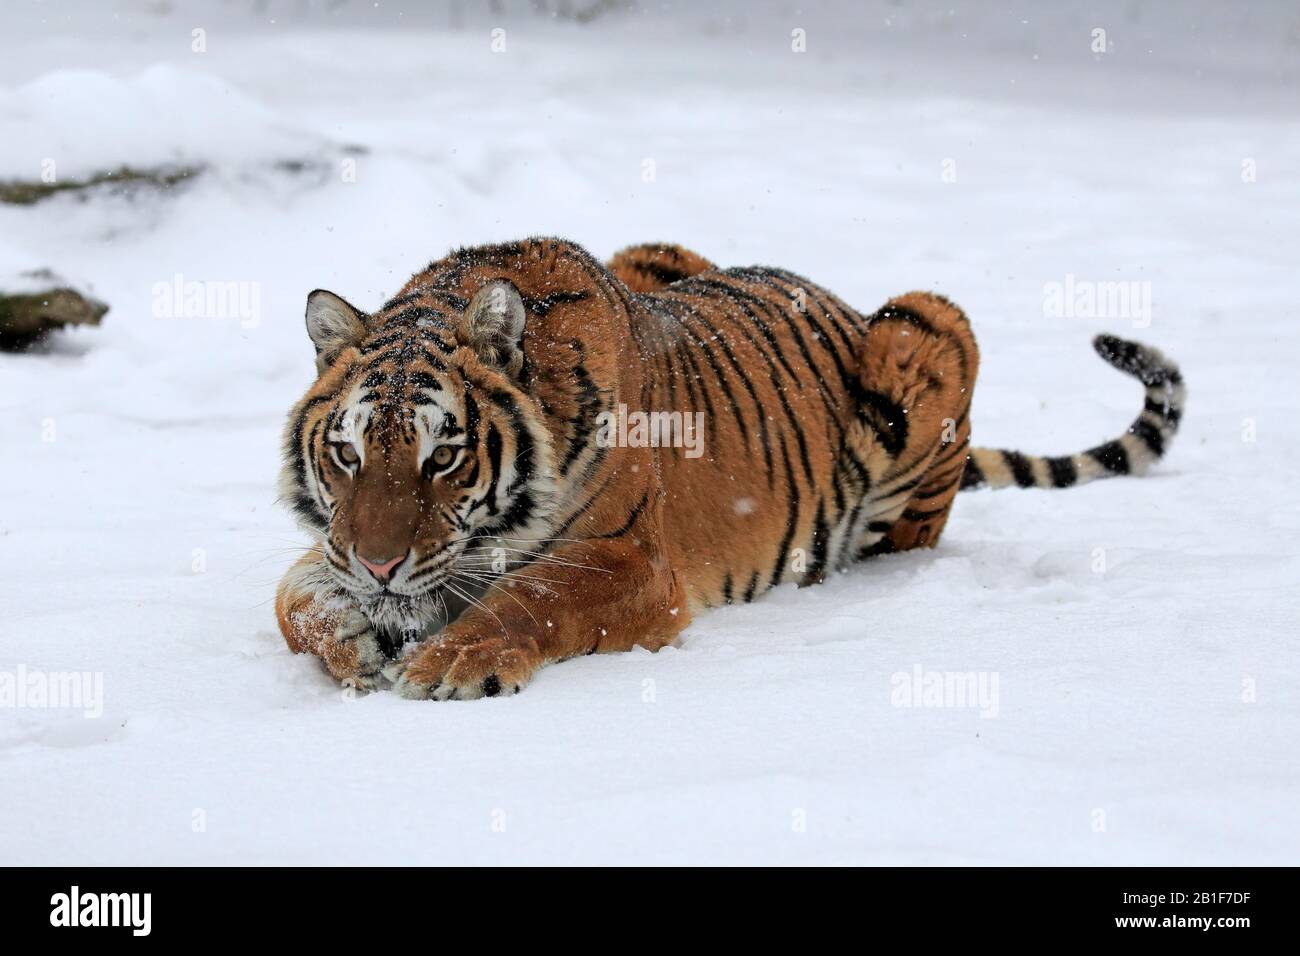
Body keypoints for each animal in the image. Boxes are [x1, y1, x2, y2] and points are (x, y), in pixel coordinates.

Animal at [275, 237, 1185, 699]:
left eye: (444, 456)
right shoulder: (332, 545)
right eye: (349, 453)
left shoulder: (634, 558)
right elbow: (296, 597)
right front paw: (349, 640)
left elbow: (537, 595)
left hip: (924, 324)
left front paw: (451, 662)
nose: (380, 565)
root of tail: (839, 301)